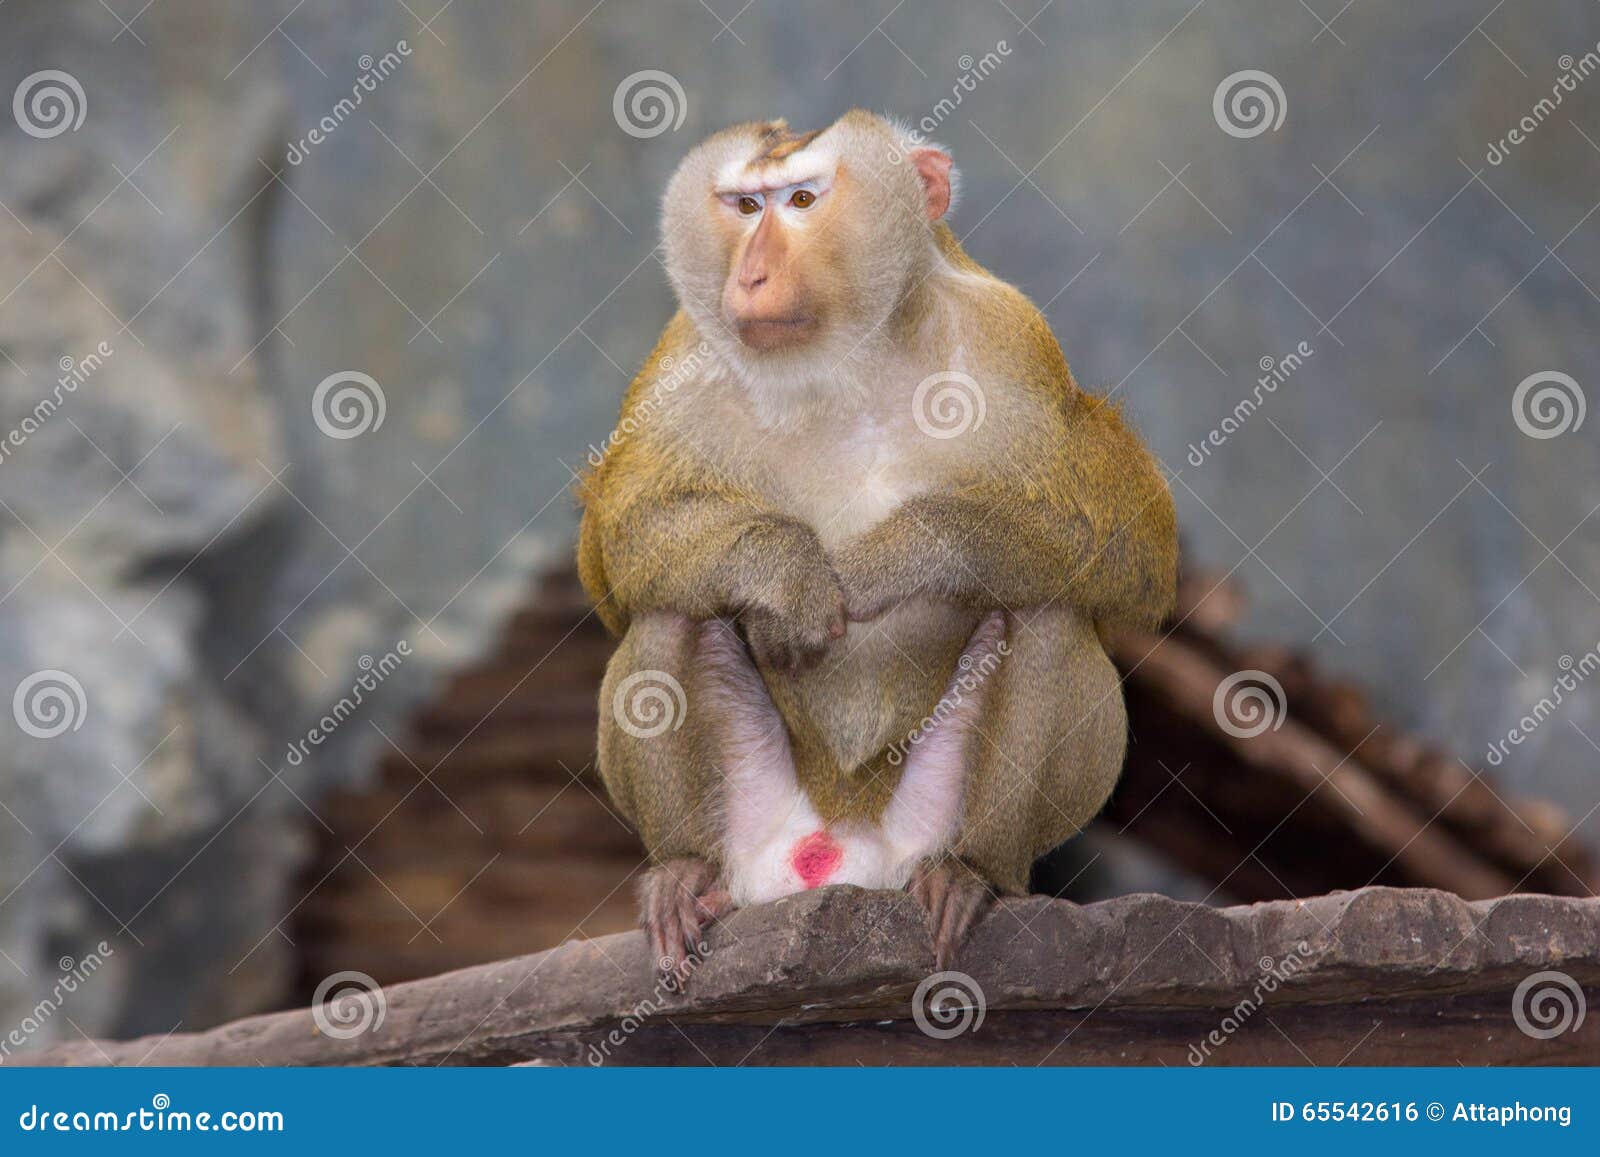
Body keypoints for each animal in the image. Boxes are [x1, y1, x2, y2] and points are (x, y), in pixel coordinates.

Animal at [578, 111, 1176, 974]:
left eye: (800, 200)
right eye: (743, 205)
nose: (751, 276)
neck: (847, 362)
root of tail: (841, 847)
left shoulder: (1011, 341)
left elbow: (1131, 540)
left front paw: (892, 560)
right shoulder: (681, 360)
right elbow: (616, 539)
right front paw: (785, 573)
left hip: (928, 816)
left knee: (1048, 615)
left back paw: (972, 872)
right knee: (671, 613)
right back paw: (686, 871)